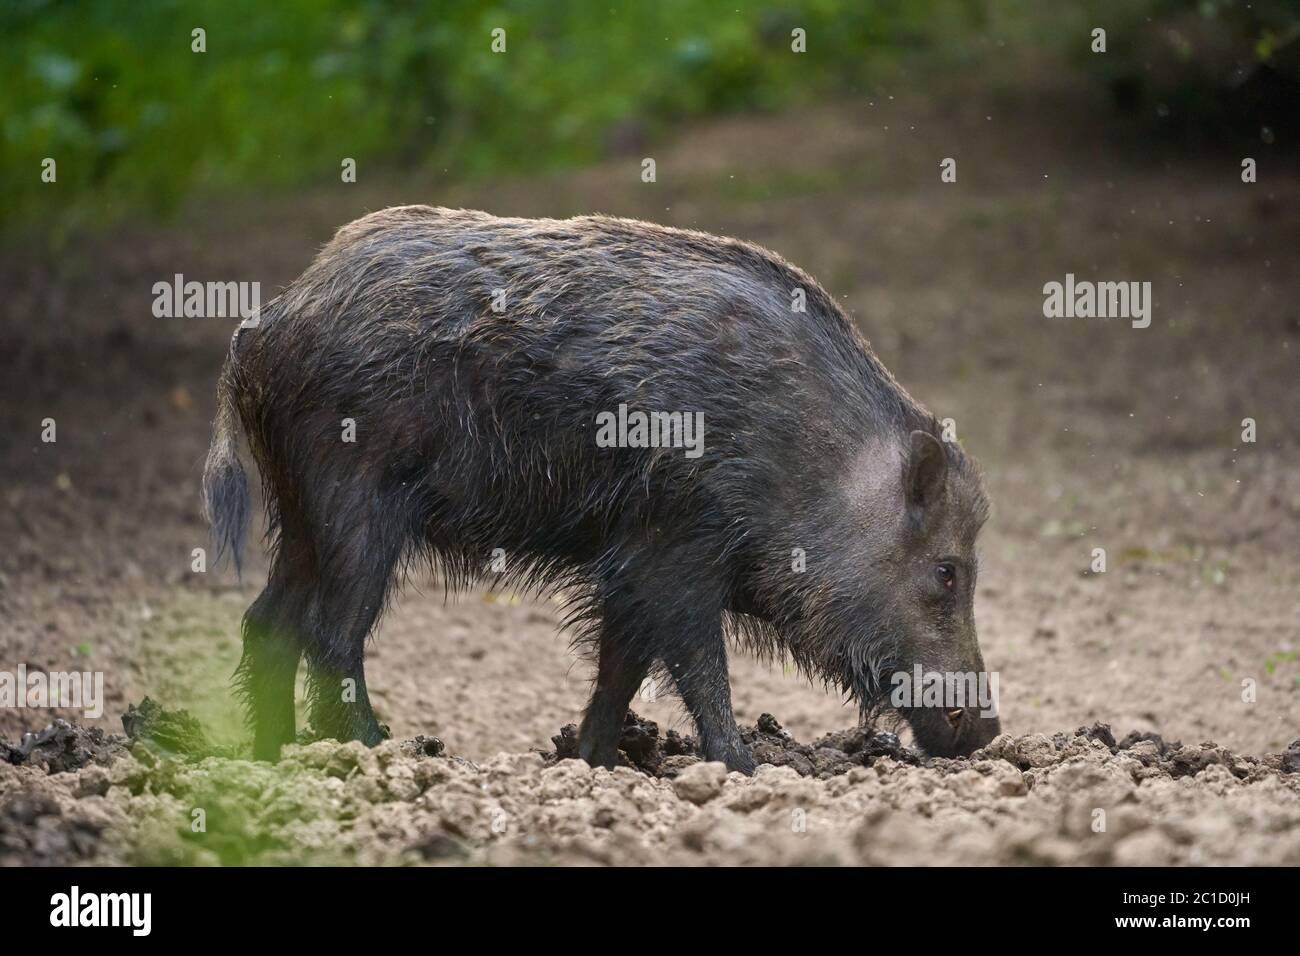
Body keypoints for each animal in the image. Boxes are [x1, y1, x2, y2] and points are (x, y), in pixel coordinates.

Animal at [202, 206, 999, 771]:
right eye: (948, 572)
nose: (988, 727)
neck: (808, 465)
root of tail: (263, 328)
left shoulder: (633, 564)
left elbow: (622, 667)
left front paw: (594, 762)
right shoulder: (678, 548)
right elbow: (698, 665)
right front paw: (744, 768)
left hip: (299, 508)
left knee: (267, 623)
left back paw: (271, 757)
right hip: (353, 496)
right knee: (331, 634)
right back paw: (385, 750)